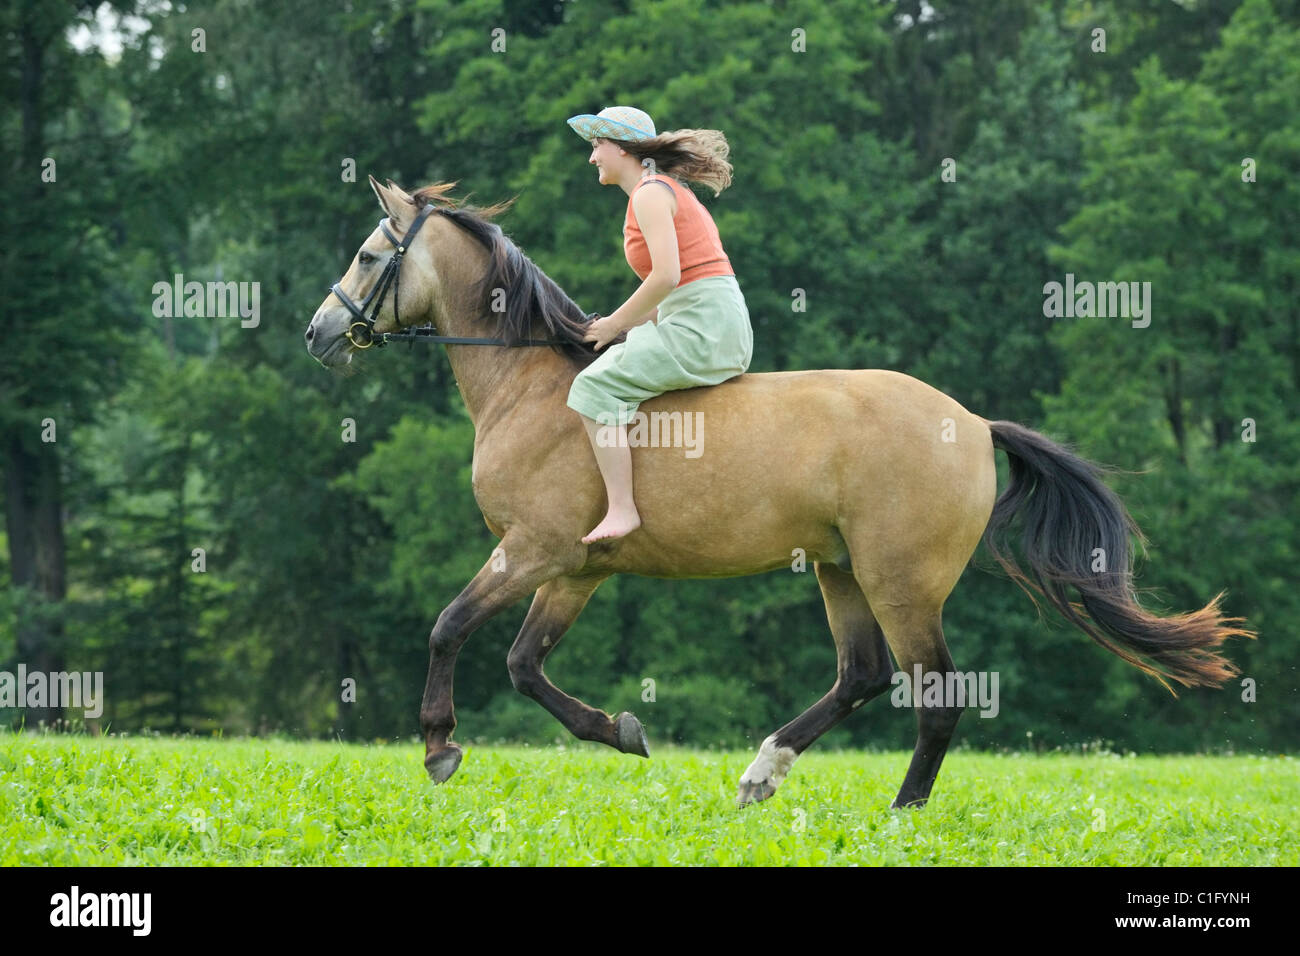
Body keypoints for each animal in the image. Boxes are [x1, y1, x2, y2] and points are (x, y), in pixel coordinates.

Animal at [305, 176, 1253, 809]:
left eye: (368, 254)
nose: (318, 332)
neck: (531, 386)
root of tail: (972, 422)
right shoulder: (575, 571)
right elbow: (525, 666)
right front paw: (621, 731)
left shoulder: (532, 550)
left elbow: (450, 627)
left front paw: (438, 746)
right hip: (840, 570)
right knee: (862, 675)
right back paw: (764, 770)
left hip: (900, 580)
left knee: (934, 693)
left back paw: (900, 813)